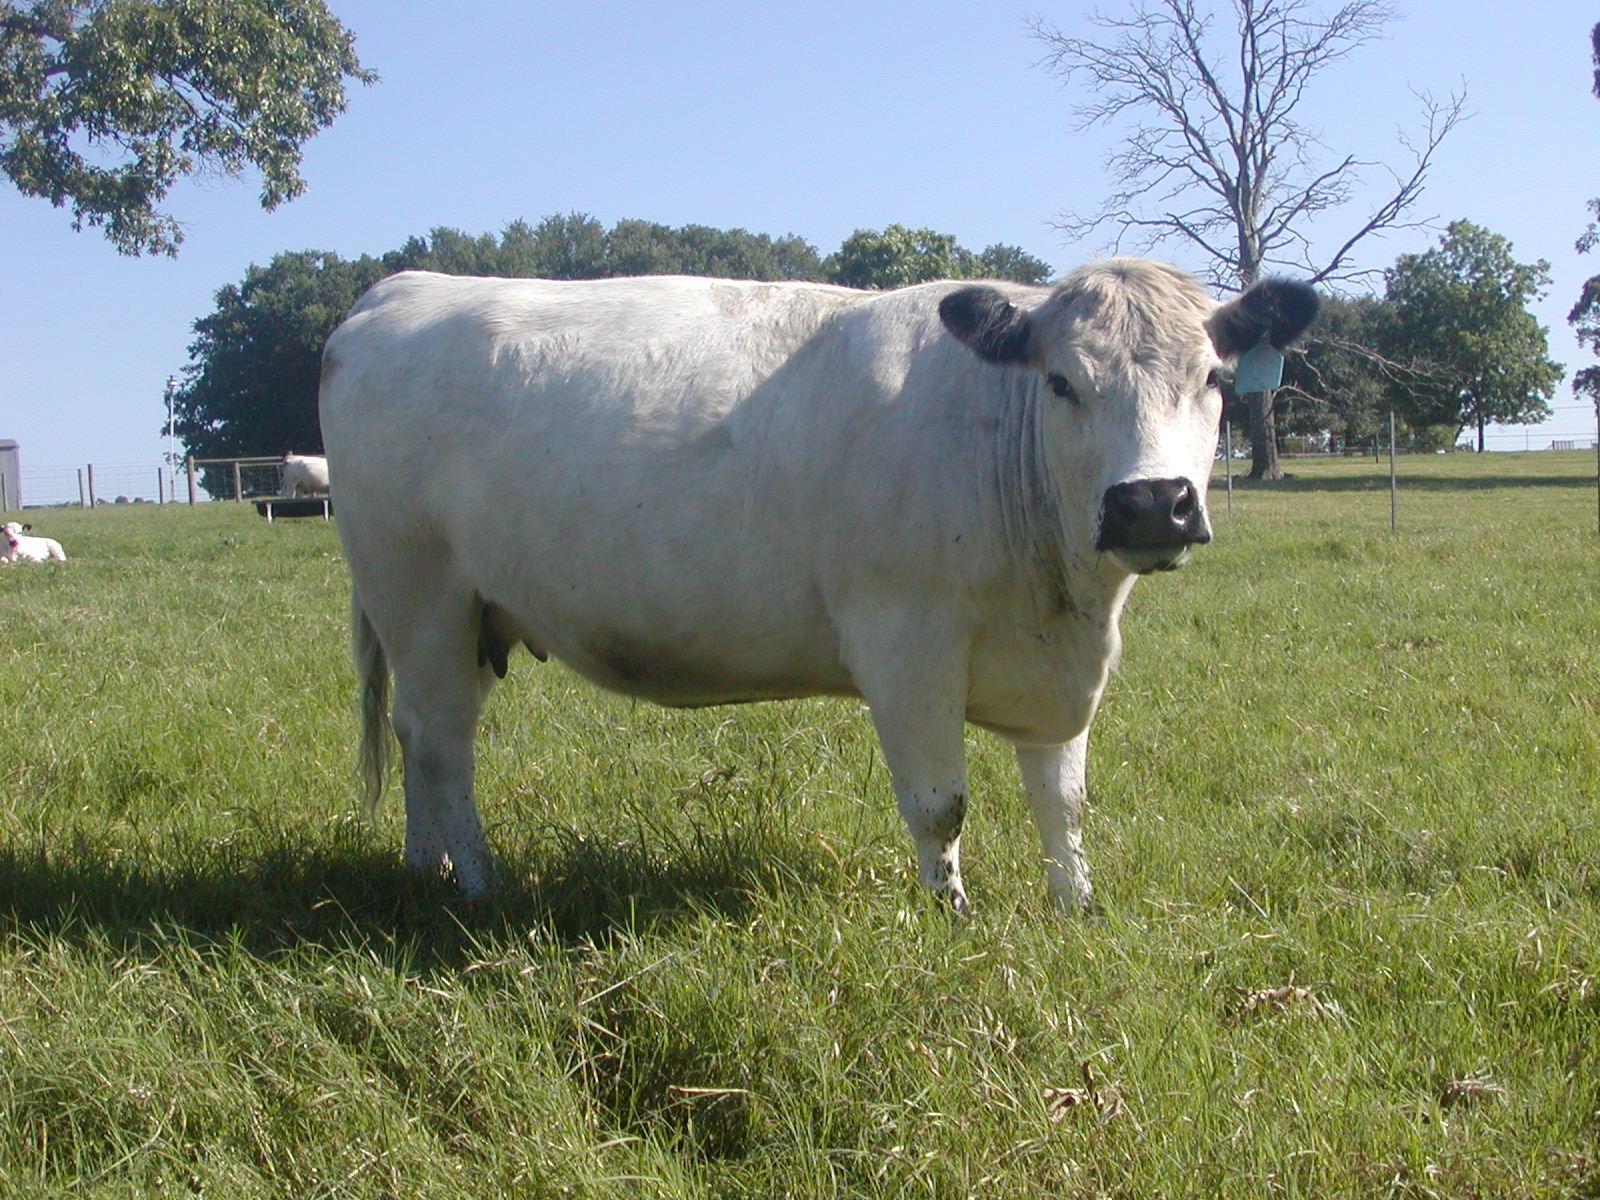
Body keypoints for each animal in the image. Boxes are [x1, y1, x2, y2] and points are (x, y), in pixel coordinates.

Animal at [320, 261, 1316, 909]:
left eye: (1215, 377)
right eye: (1064, 382)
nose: (1152, 504)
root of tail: (400, 288)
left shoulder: (1055, 666)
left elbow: (1062, 797)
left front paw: (1075, 909)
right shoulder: (904, 639)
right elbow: (940, 804)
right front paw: (950, 922)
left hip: (465, 614)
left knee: (416, 733)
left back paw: (425, 869)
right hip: (418, 592)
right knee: (443, 740)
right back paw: (478, 888)